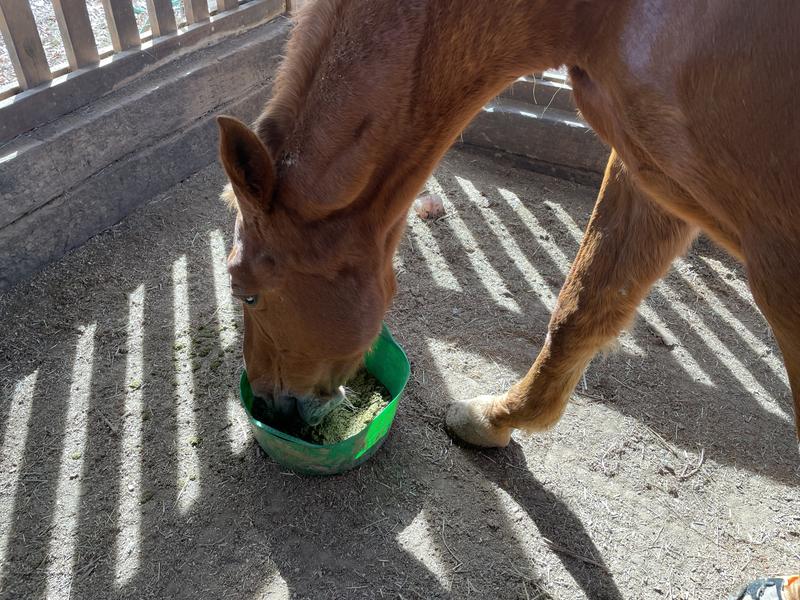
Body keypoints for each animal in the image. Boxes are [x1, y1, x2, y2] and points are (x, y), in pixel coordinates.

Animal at [217, 0, 800, 446]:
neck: (602, 15)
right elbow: (581, 307)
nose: (265, 403)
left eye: (248, 294)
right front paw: (495, 421)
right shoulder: (647, 167)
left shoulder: (779, 263)